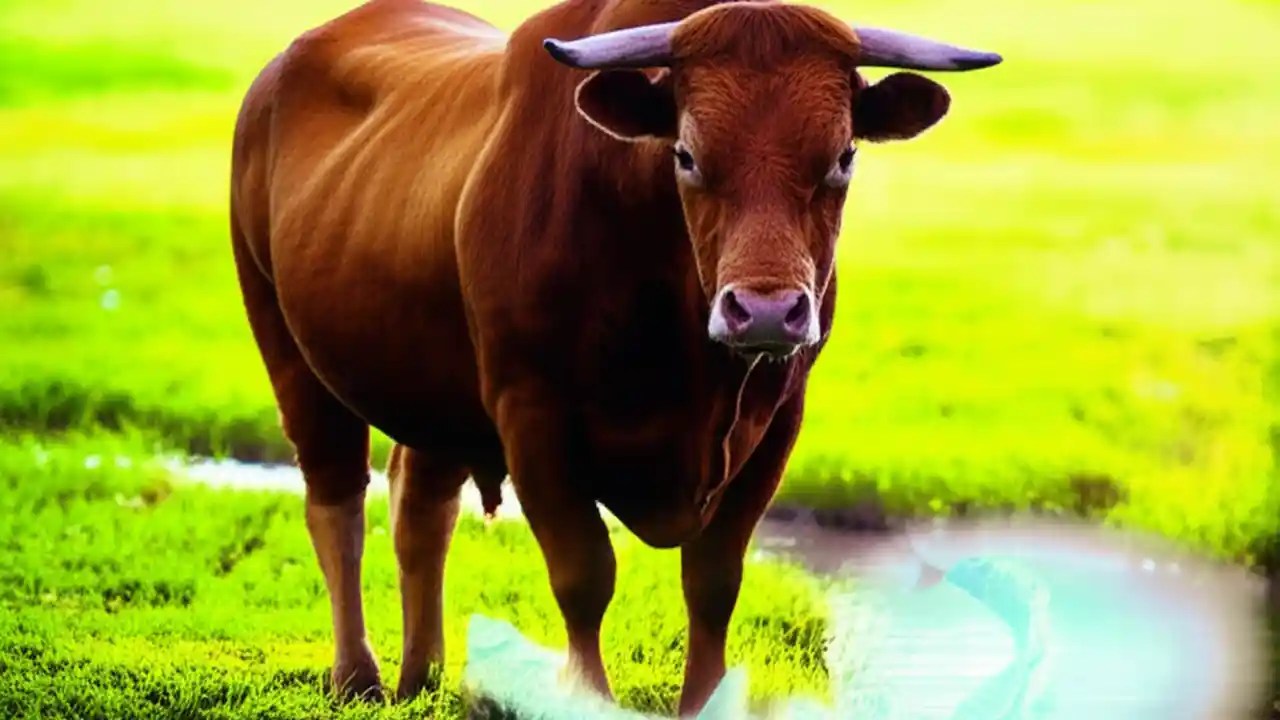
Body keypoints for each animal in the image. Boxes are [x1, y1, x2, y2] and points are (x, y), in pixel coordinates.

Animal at [229, 0, 1000, 714]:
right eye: (686, 155)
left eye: (843, 157)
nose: (766, 311)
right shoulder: (531, 415)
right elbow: (583, 573)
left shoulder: (778, 419)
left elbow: (713, 580)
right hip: (285, 346)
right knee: (336, 502)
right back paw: (356, 677)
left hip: (432, 388)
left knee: (421, 507)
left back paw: (422, 679)